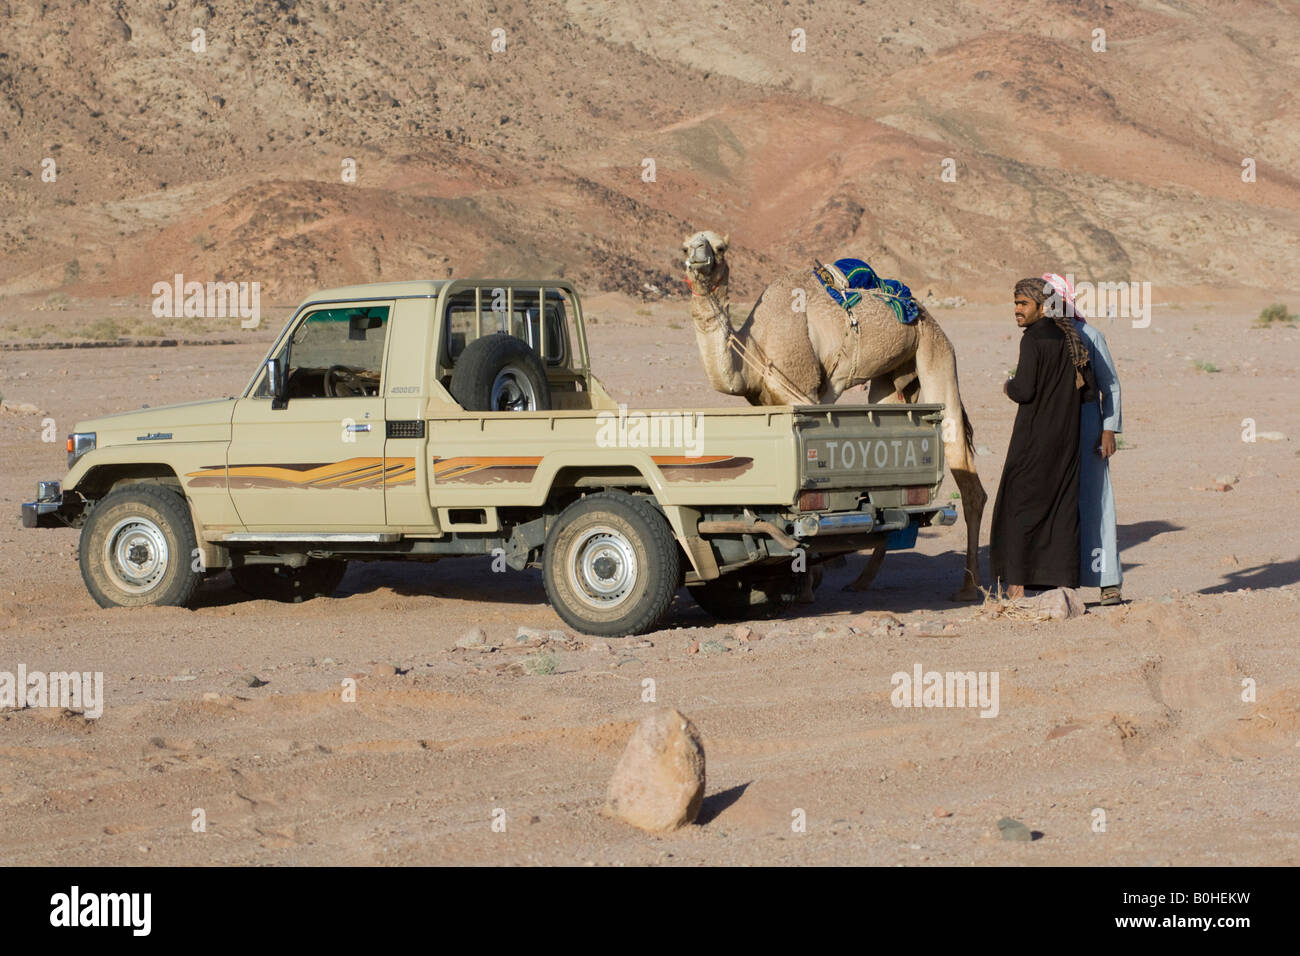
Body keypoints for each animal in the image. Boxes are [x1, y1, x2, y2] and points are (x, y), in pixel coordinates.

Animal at [681, 230, 986, 601]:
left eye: (720, 247)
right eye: (686, 245)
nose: (699, 255)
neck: (753, 350)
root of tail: (926, 313)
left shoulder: (806, 389)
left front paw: (807, 584)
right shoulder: (769, 403)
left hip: (936, 353)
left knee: (965, 471)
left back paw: (968, 587)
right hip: (891, 378)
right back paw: (862, 581)